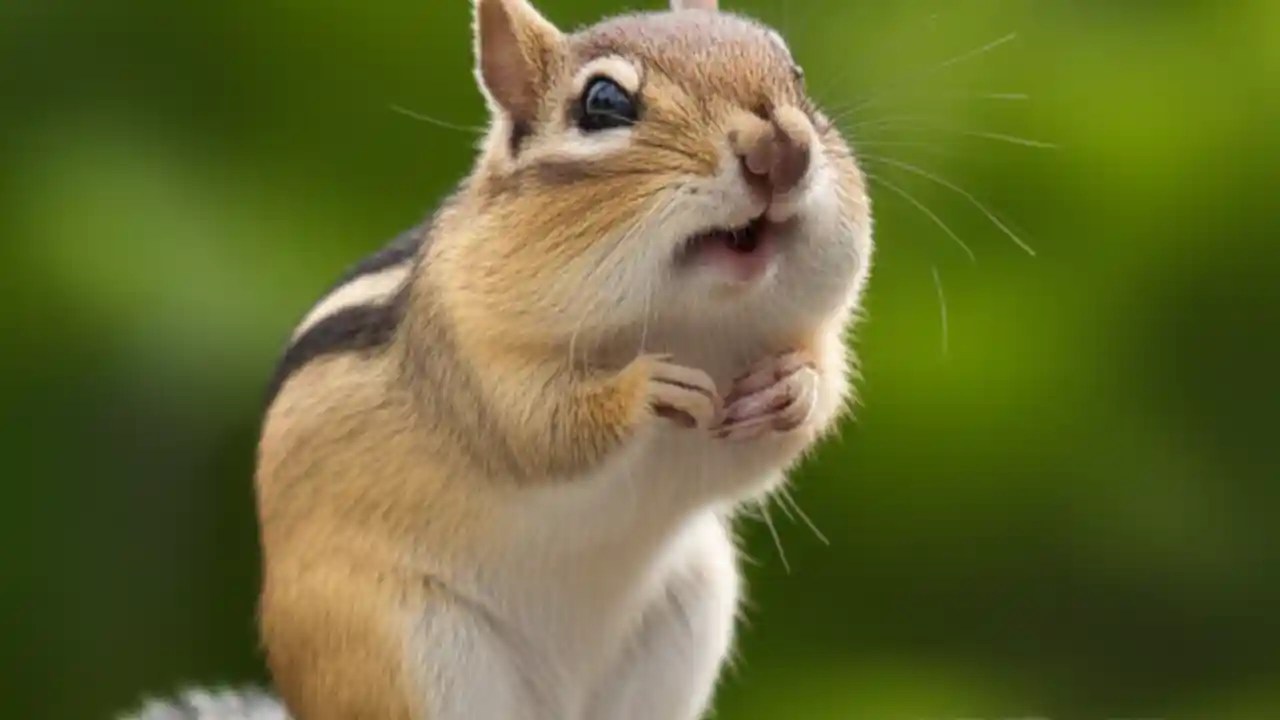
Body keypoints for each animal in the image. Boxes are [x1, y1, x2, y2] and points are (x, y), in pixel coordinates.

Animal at [121, 0, 872, 718]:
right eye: (603, 103)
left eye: (794, 73)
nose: (781, 148)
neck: (693, 324)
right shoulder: (467, 359)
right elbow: (535, 432)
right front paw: (642, 388)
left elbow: (774, 439)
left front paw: (794, 389)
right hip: (405, 649)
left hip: (687, 617)